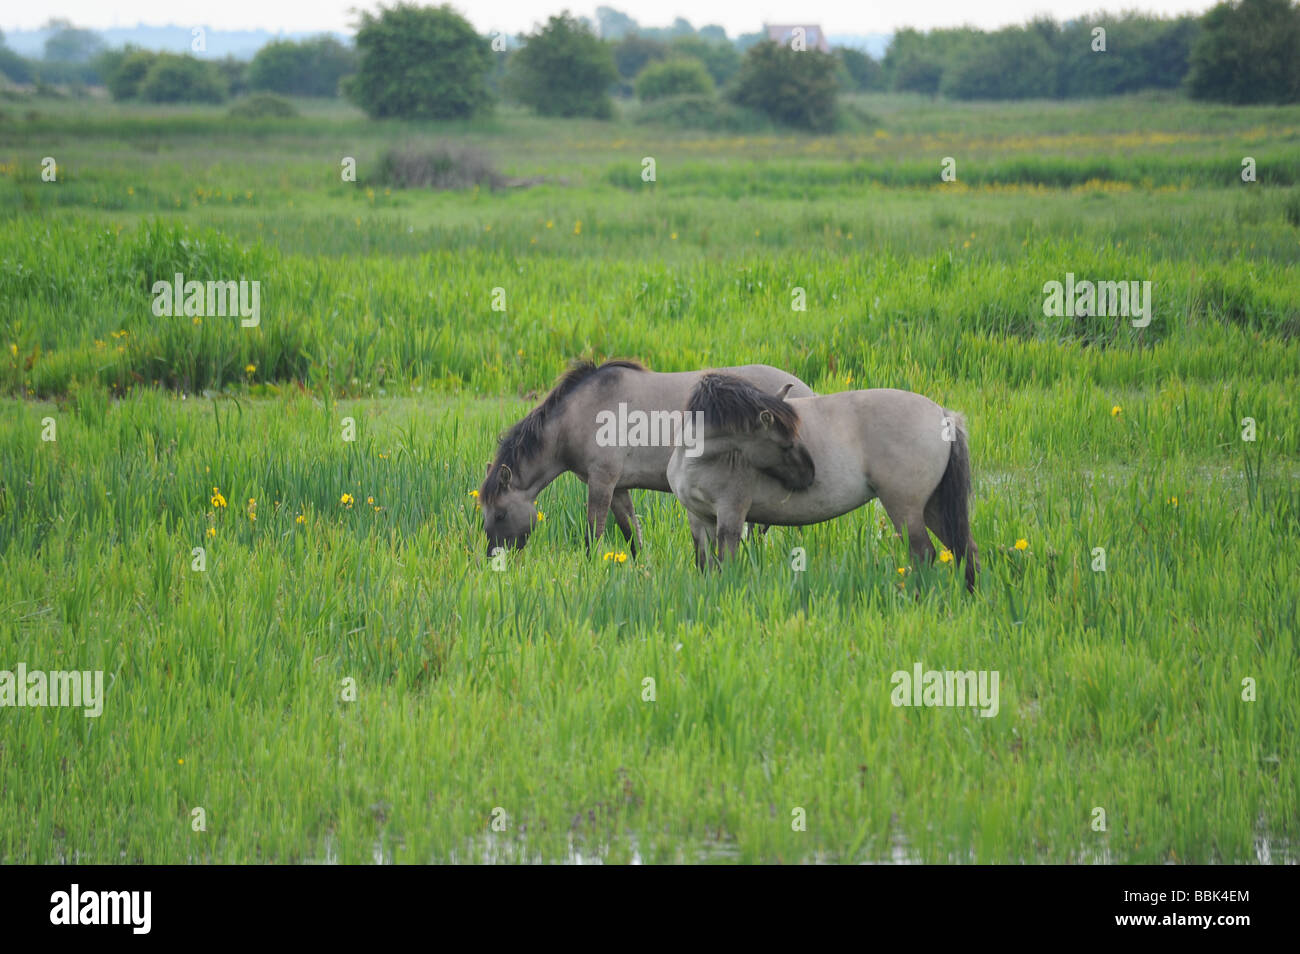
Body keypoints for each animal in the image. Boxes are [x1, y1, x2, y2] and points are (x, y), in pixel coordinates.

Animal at [478, 360, 815, 555]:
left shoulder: (602, 482)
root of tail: (805, 389)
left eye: (500, 515)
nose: (495, 560)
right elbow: (632, 536)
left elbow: (593, 535)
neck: (579, 413)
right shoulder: (618, 488)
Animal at [666, 373, 979, 589]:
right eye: (785, 444)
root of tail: (944, 415)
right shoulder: (700, 519)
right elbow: (706, 564)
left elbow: (725, 564)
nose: (809, 475)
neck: (695, 460)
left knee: (923, 553)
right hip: (933, 507)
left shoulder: (731, 514)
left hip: (905, 509)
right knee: (965, 551)